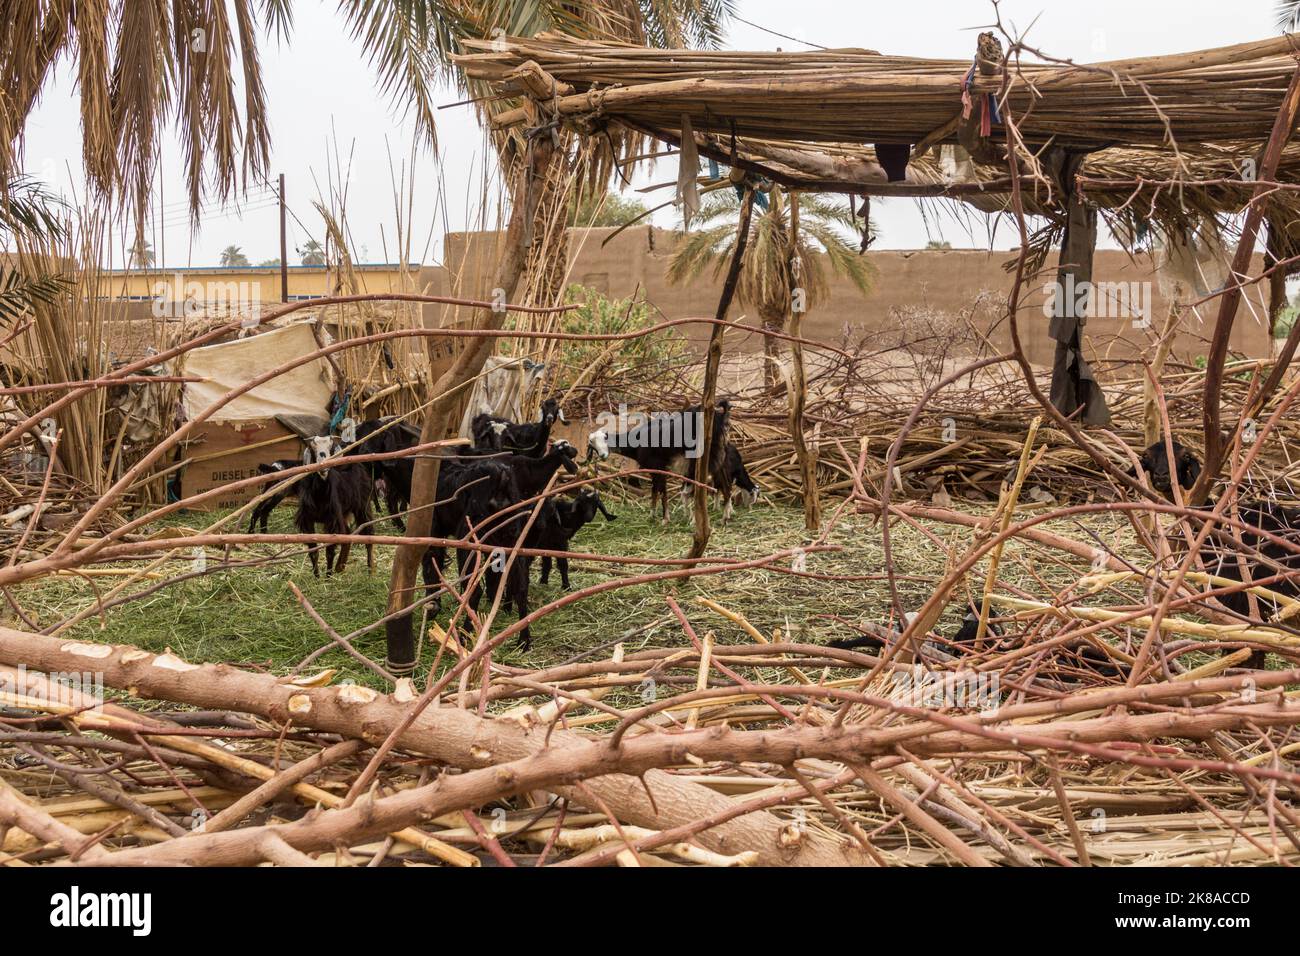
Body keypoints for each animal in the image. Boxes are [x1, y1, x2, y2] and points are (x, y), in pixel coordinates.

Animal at [294, 435, 375, 577]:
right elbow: (313, 551)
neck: (319, 495)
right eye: (313, 446)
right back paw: (340, 567)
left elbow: (330, 552)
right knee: (347, 534)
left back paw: (370, 570)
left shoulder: (332, 520)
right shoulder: (307, 520)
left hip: (362, 506)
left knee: (368, 532)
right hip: (343, 513)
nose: (323, 463)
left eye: (331, 447)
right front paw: (317, 576)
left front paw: (328, 577)